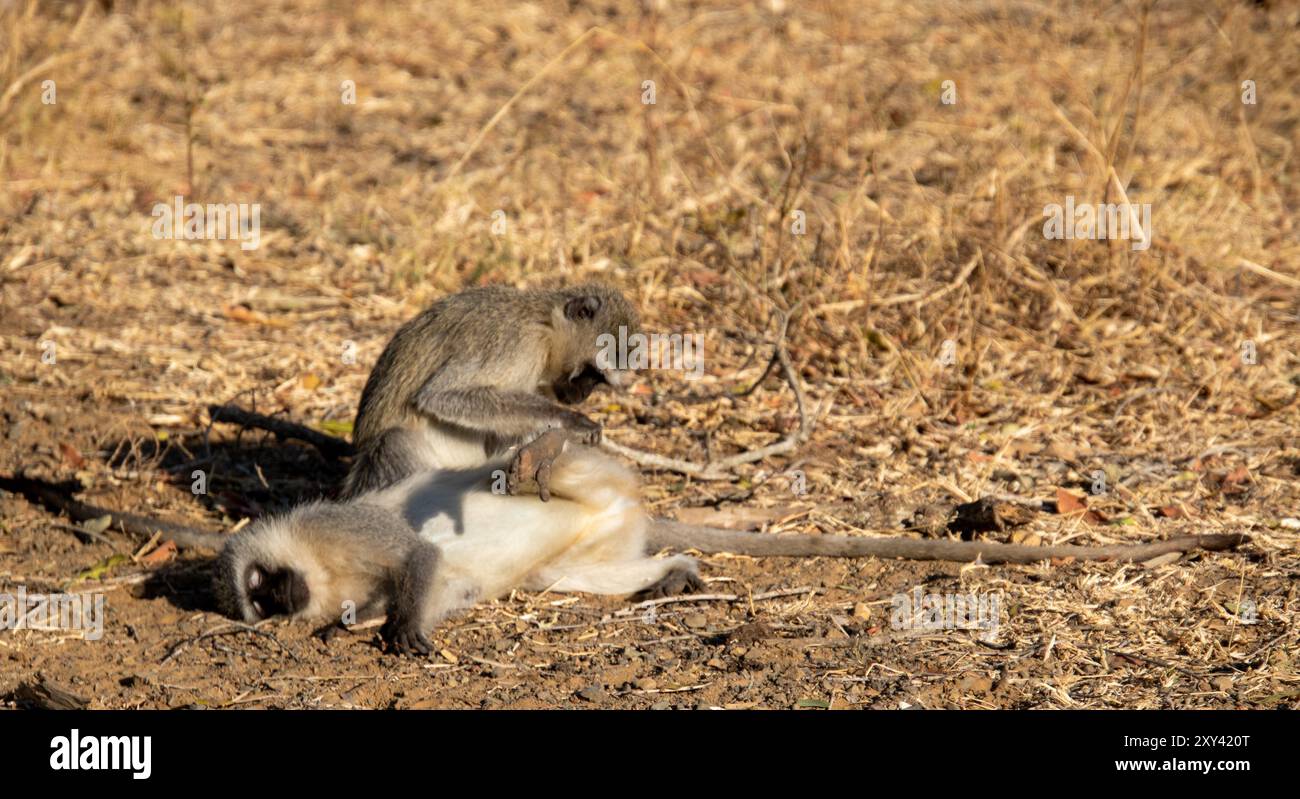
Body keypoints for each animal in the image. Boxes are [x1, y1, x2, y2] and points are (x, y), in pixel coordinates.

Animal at [339, 283, 639, 500]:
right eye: (591, 373)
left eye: (598, 381)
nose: (581, 397)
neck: (545, 324)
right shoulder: (515, 343)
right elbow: (441, 396)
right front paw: (570, 420)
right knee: (395, 441)